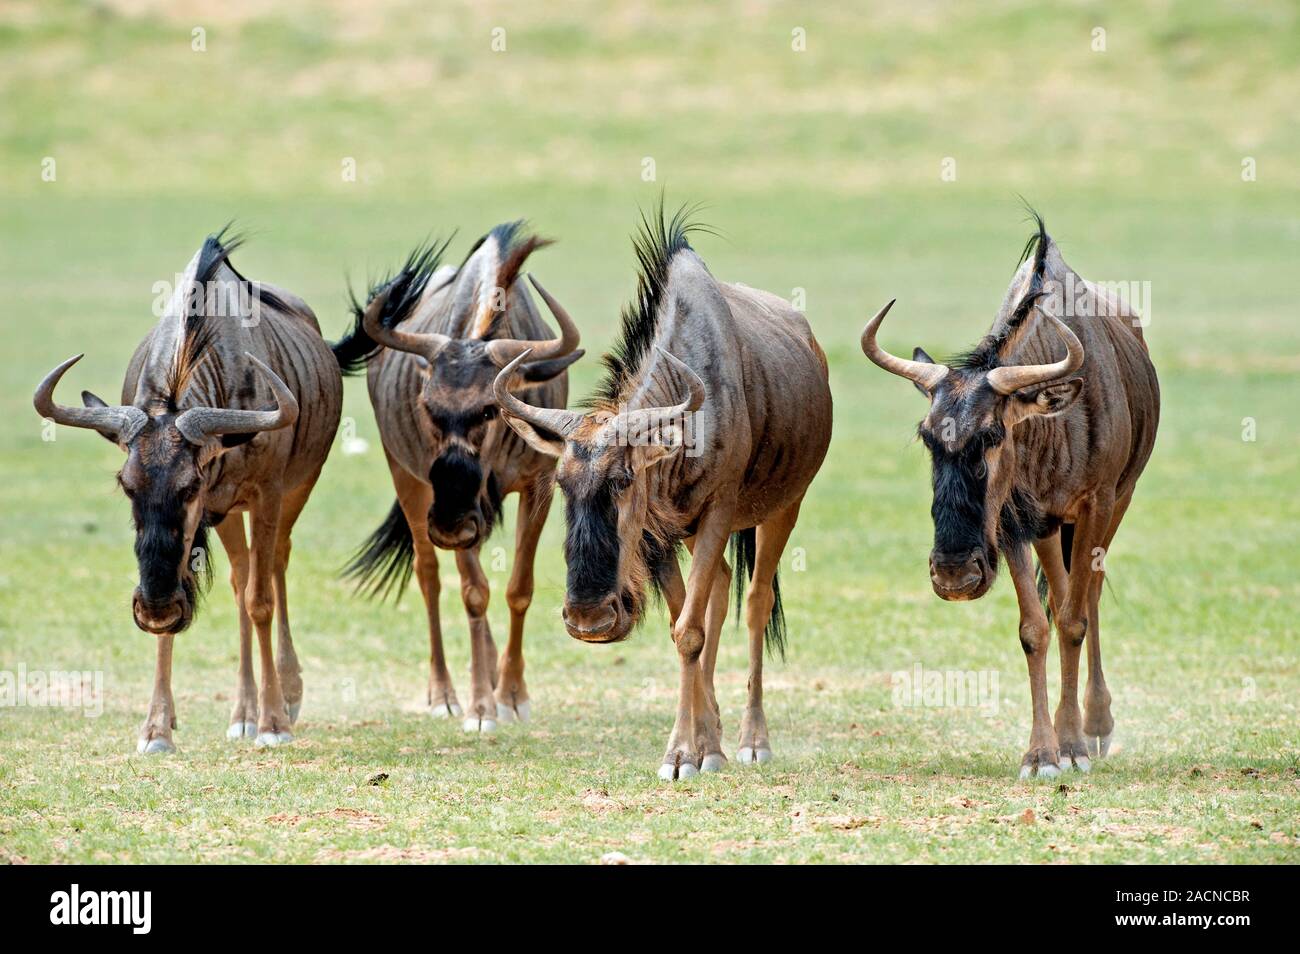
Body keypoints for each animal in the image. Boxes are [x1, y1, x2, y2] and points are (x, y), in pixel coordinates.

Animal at [33, 230, 347, 752]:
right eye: (126, 485)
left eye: (191, 485)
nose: (155, 608)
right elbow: (206, 604)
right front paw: (157, 727)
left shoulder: (265, 493)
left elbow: (262, 599)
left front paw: (274, 723)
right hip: (230, 515)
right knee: (241, 580)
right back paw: (242, 713)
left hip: (297, 488)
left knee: (273, 569)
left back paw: (284, 696)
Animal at [335, 223, 583, 732]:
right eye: (428, 406)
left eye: (489, 409)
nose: (449, 524)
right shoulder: (449, 500)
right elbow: (473, 592)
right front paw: (482, 707)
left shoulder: (538, 484)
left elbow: (519, 588)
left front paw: (511, 695)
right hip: (406, 477)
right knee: (429, 575)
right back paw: (445, 693)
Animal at [493, 207, 833, 779]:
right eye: (562, 484)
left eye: (623, 480)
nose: (589, 620)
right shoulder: (662, 534)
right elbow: (684, 623)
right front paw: (700, 746)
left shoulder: (718, 511)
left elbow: (690, 630)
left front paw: (681, 754)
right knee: (720, 587)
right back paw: (717, 737)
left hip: (785, 507)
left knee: (755, 602)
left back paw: (752, 740)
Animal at [861, 214, 1159, 778]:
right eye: (927, 437)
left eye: (993, 435)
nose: (955, 575)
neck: (1052, 423)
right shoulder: (1015, 520)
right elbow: (1035, 628)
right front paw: (1043, 752)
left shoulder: (1098, 503)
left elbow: (1075, 619)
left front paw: (1073, 745)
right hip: (1050, 527)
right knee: (1060, 594)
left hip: (1120, 501)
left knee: (1087, 596)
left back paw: (1096, 726)